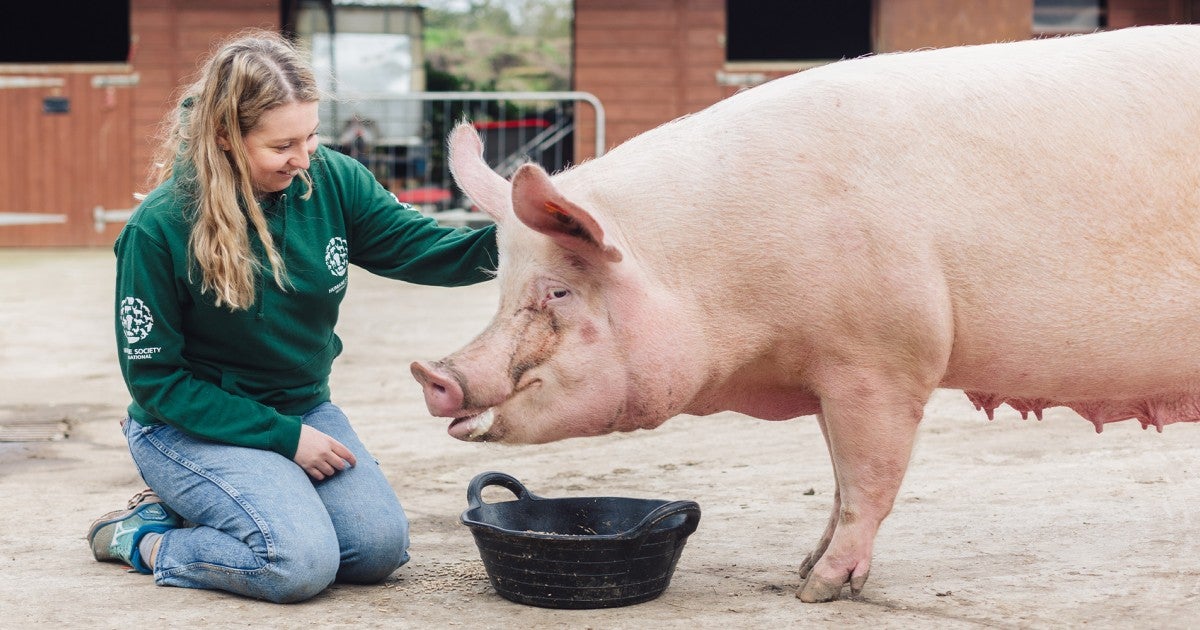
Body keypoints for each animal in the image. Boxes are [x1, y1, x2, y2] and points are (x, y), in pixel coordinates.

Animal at [411, 25, 1200, 602]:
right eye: (501, 284)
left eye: (559, 293)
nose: (433, 373)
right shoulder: (830, 371)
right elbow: (839, 475)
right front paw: (801, 565)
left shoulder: (882, 362)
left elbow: (867, 482)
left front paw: (817, 591)